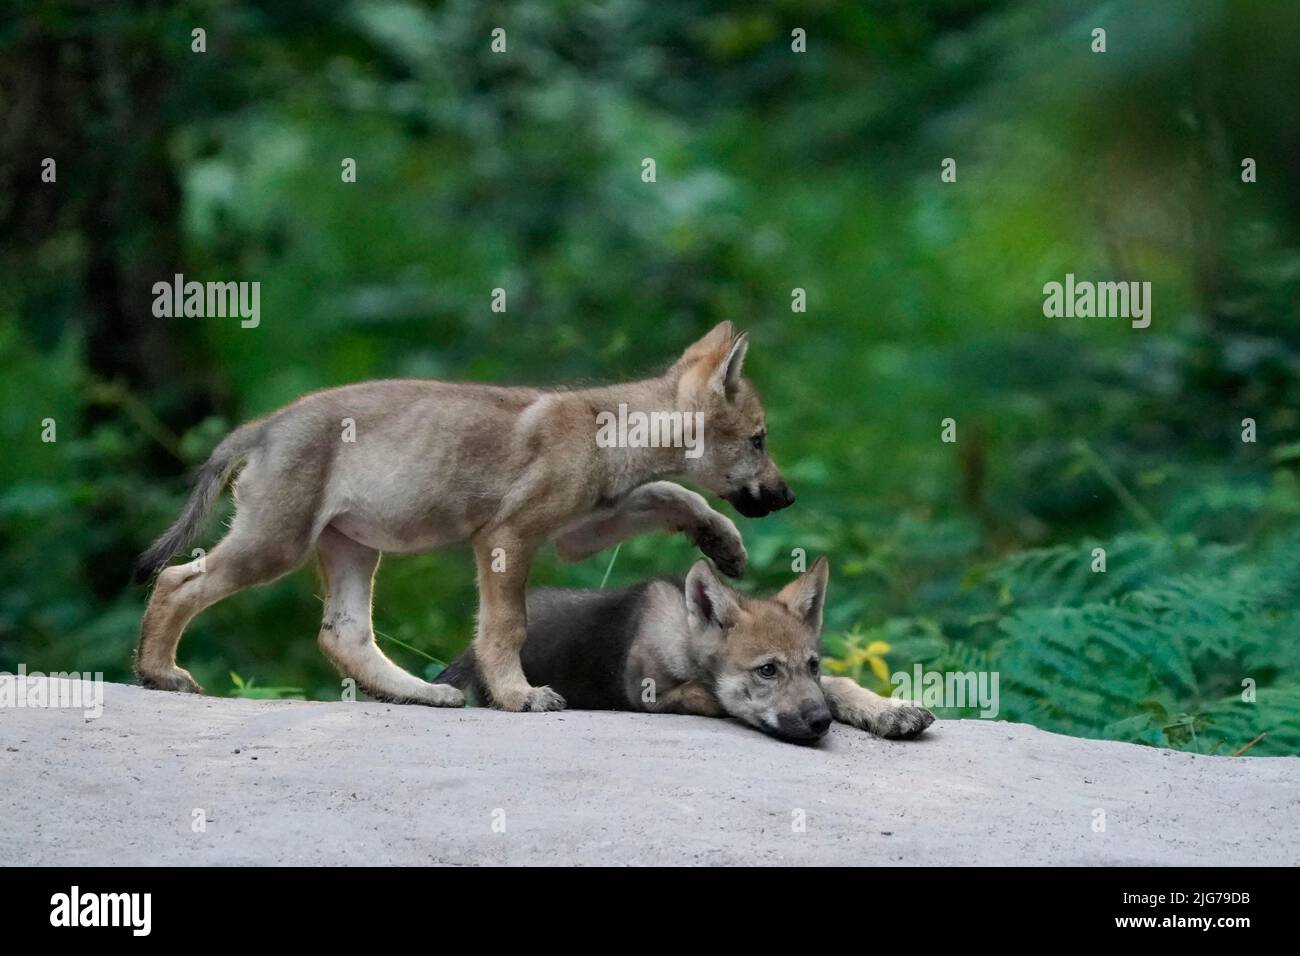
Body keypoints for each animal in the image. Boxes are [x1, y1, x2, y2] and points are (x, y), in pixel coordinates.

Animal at [134, 322, 793, 712]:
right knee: (176, 581)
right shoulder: (509, 535)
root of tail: (263, 425)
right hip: (276, 545)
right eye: (760, 440)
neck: (615, 432)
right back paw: (161, 675)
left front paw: (725, 546)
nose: (786, 497)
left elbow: (675, 495)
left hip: (352, 548)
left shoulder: (580, 531)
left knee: (344, 635)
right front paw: (518, 696)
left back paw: (425, 694)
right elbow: (505, 628)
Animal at [436, 557, 937, 743]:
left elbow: (840, 684)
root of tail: (471, 648)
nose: (820, 724)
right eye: (767, 671)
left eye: (812, 665)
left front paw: (889, 709)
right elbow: (714, 695)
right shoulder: (648, 695)